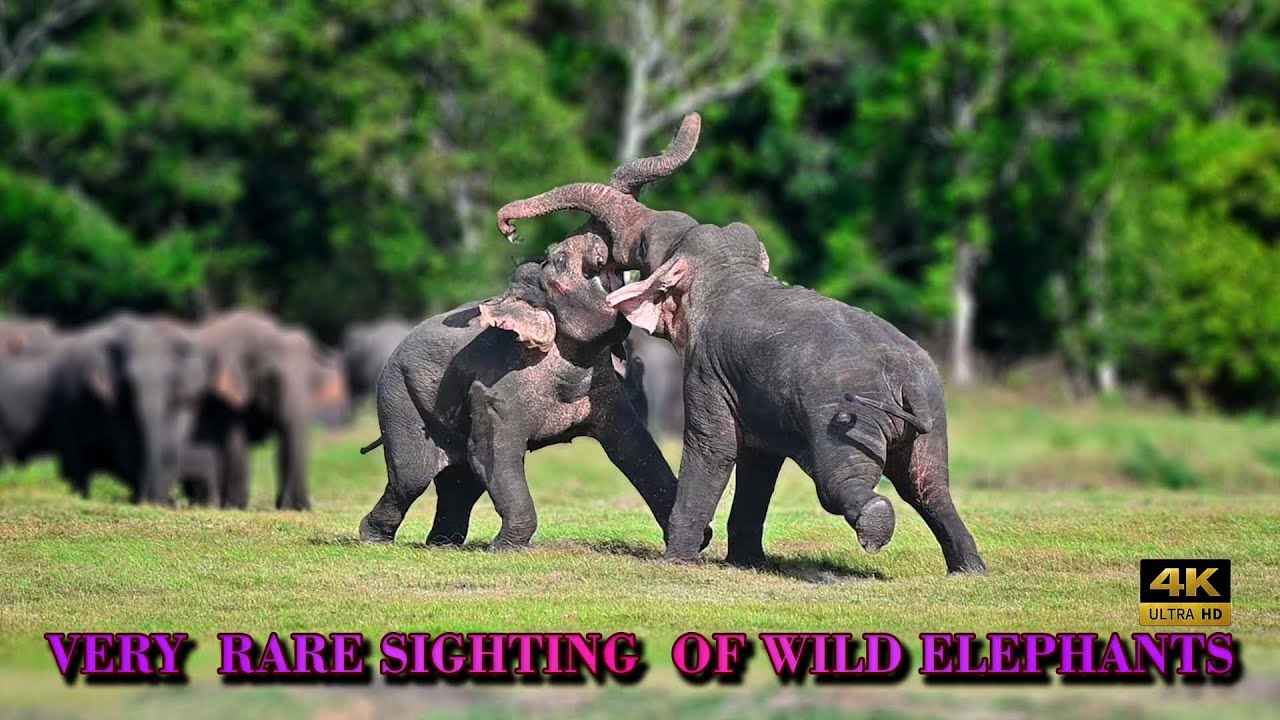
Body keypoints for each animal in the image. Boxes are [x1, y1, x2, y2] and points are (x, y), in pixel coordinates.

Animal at [492, 178, 987, 575]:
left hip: (845, 419)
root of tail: (905, 376)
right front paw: (745, 562)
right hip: (931, 418)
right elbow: (758, 458)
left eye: (646, 246)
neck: (729, 272)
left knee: (842, 482)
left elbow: (714, 447)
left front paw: (677, 562)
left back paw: (877, 528)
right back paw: (969, 570)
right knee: (927, 485)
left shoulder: (706, 370)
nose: (508, 228)